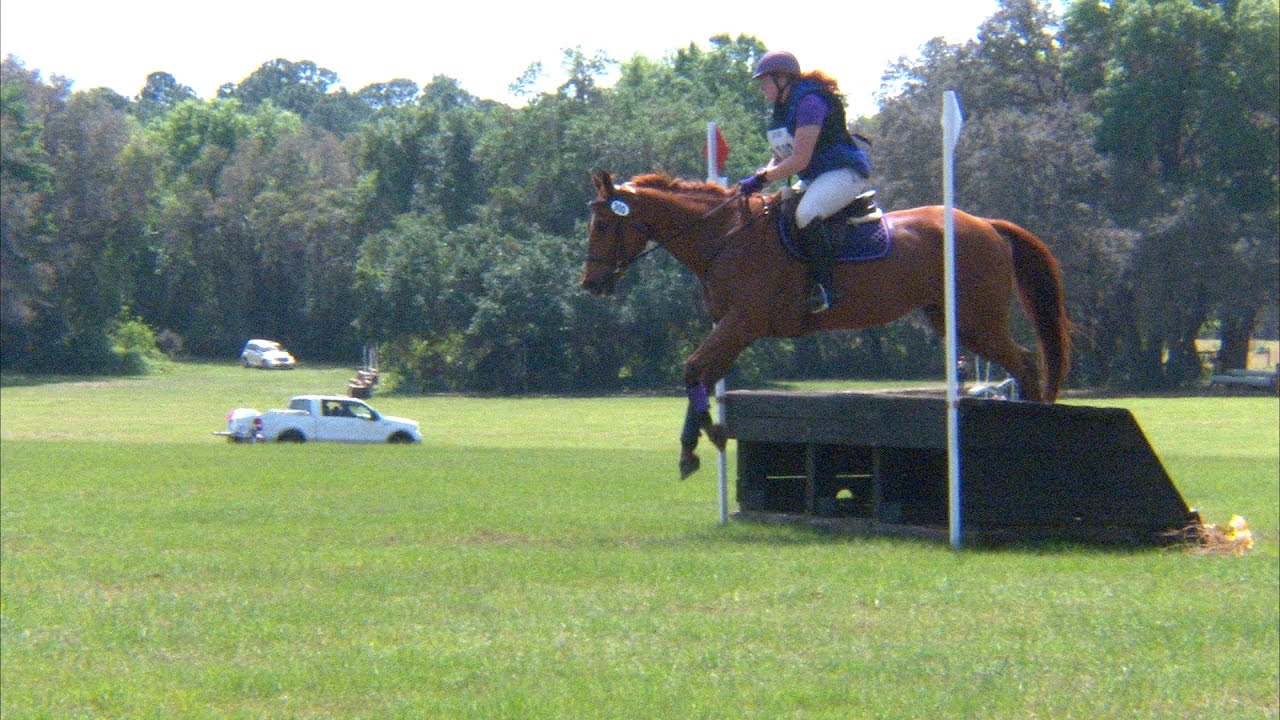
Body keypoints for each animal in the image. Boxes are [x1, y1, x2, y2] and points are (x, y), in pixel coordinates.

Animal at [580, 170, 1071, 479]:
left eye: (602, 224)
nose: (590, 283)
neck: (724, 239)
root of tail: (985, 224)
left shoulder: (742, 323)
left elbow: (693, 369)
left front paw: (711, 434)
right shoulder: (731, 330)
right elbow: (698, 374)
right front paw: (691, 448)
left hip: (977, 318)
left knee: (1025, 364)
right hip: (956, 320)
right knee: (1023, 363)